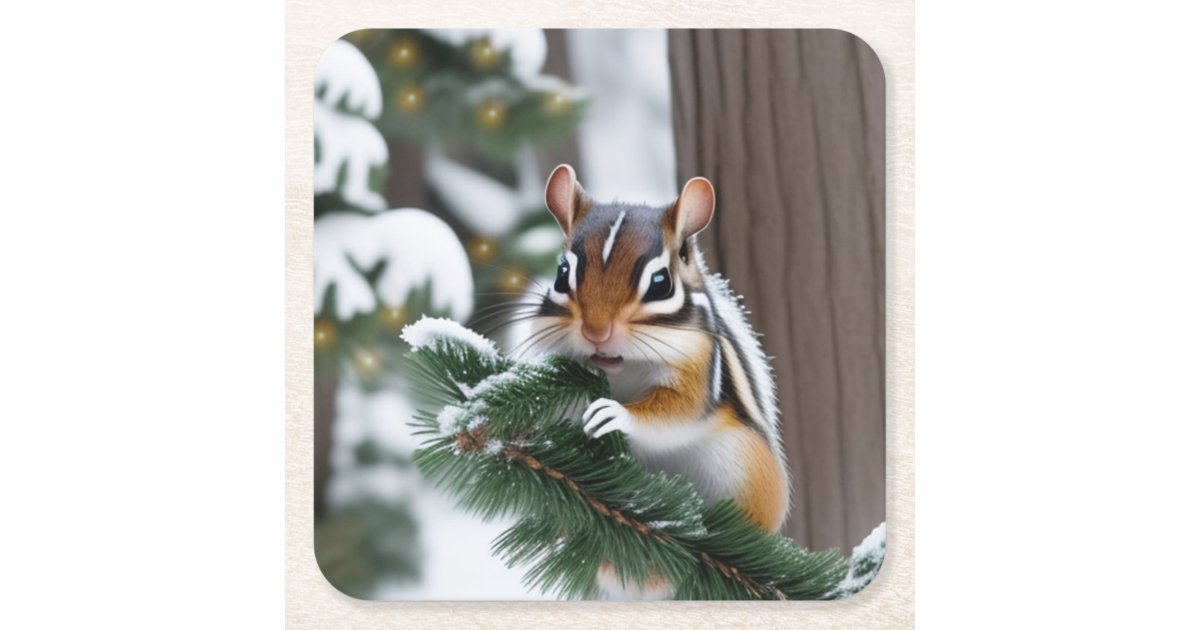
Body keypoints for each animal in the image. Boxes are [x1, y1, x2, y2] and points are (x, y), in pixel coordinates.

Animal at [529, 164, 790, 599]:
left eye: (660, 283)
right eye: (562, 274)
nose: (596, 331)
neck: (622, 371)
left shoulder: (698, 369)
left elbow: (676, 413)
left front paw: (614, 415)